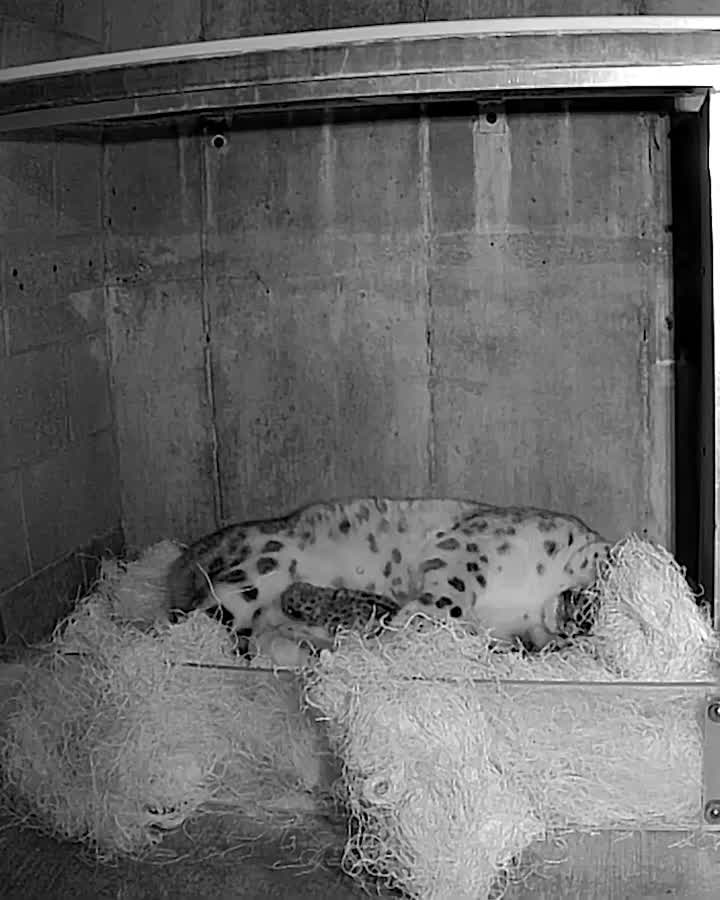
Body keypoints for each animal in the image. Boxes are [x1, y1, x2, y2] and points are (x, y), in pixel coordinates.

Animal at [166, 497, 612, 662]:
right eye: (593, 599)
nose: (576, 624)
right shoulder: (474, 543)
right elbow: (451, 594)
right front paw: (410, 624)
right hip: (258, 571)